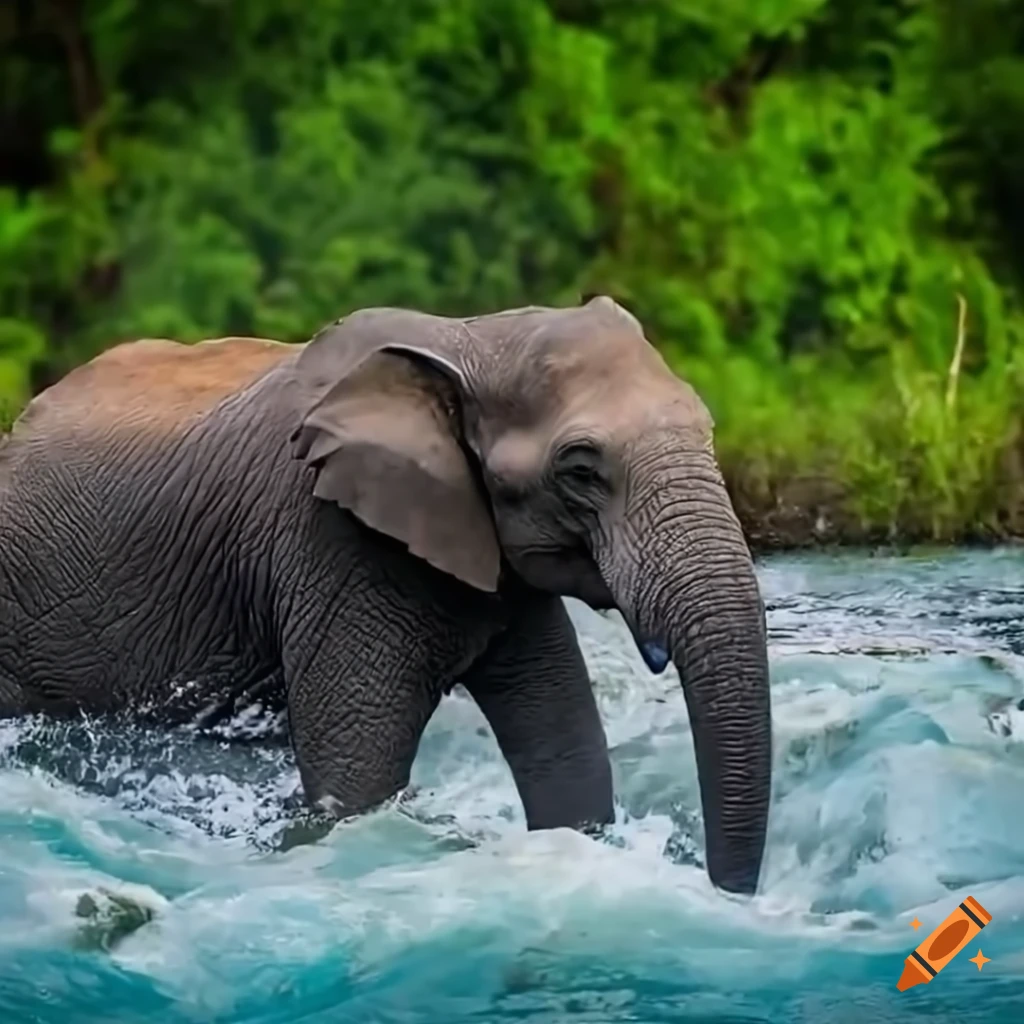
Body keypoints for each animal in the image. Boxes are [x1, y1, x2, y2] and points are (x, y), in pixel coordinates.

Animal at [0, 297, 771, 895]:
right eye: (580, 470)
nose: (723, 889)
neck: (474, 338)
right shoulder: (330, 535)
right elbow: (357, 770)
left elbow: (565, 742)